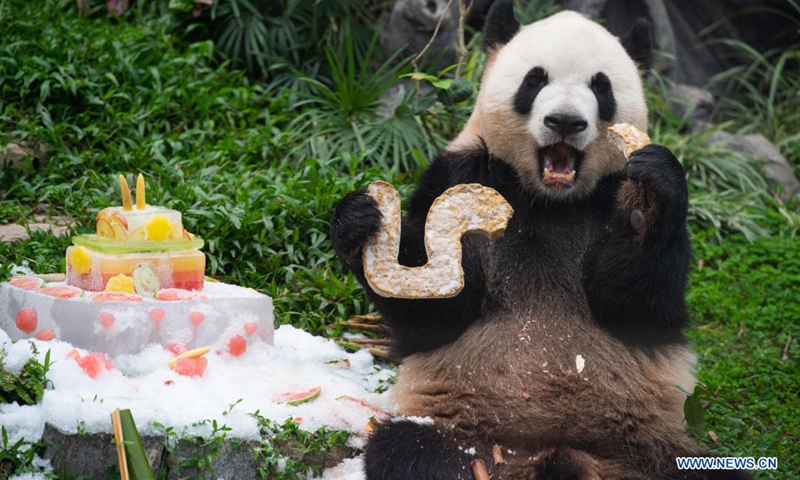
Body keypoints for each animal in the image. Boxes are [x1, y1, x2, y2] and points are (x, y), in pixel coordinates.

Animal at [330, 2, 752, 479]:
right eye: (534, 80)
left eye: (600, 86)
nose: (565, 121)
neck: (549, 199)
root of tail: (548, 455)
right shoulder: (460, 172)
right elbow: (437, 317)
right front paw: (359, 223)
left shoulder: (609, 195)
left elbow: (639, 307)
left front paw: (652, 197)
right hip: (466, 431)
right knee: (408, 450)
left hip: (652, 445)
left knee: (706, 468)